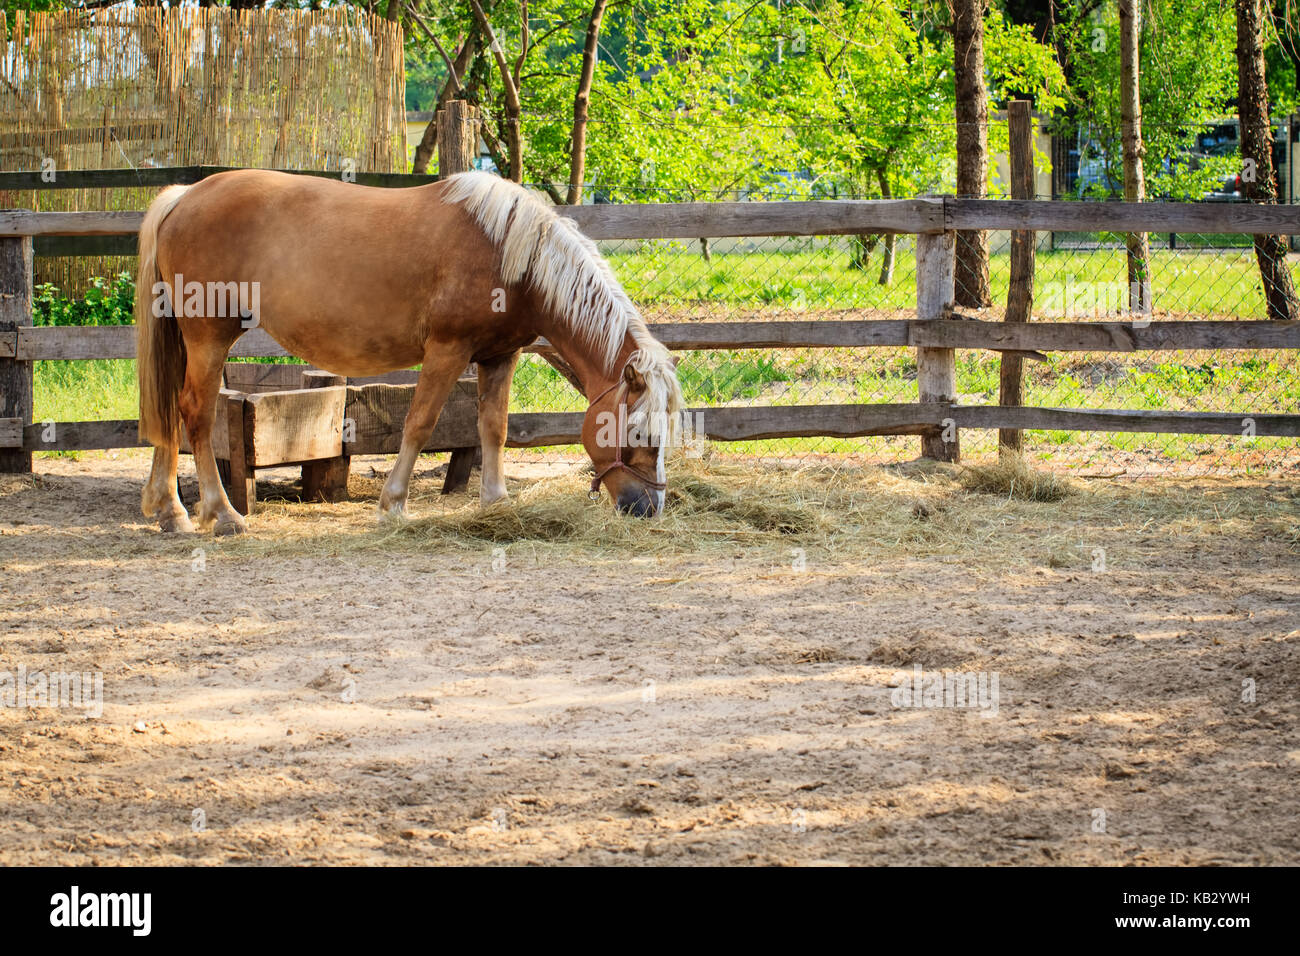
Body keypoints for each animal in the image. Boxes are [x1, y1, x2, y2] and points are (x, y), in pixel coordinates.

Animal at [134, 169, 684, 535]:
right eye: (638, 433)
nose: (649, 509)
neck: (510, 254)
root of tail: (184, 197)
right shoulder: (447, 350)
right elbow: (420, 424)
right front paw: (393, 504)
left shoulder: (498, 356)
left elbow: (494, 428)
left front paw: (495, 503)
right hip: (208, 337)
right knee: (195, 413)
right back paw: (221, 514)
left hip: (188, 341)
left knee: (170, 413)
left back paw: (170, 511)